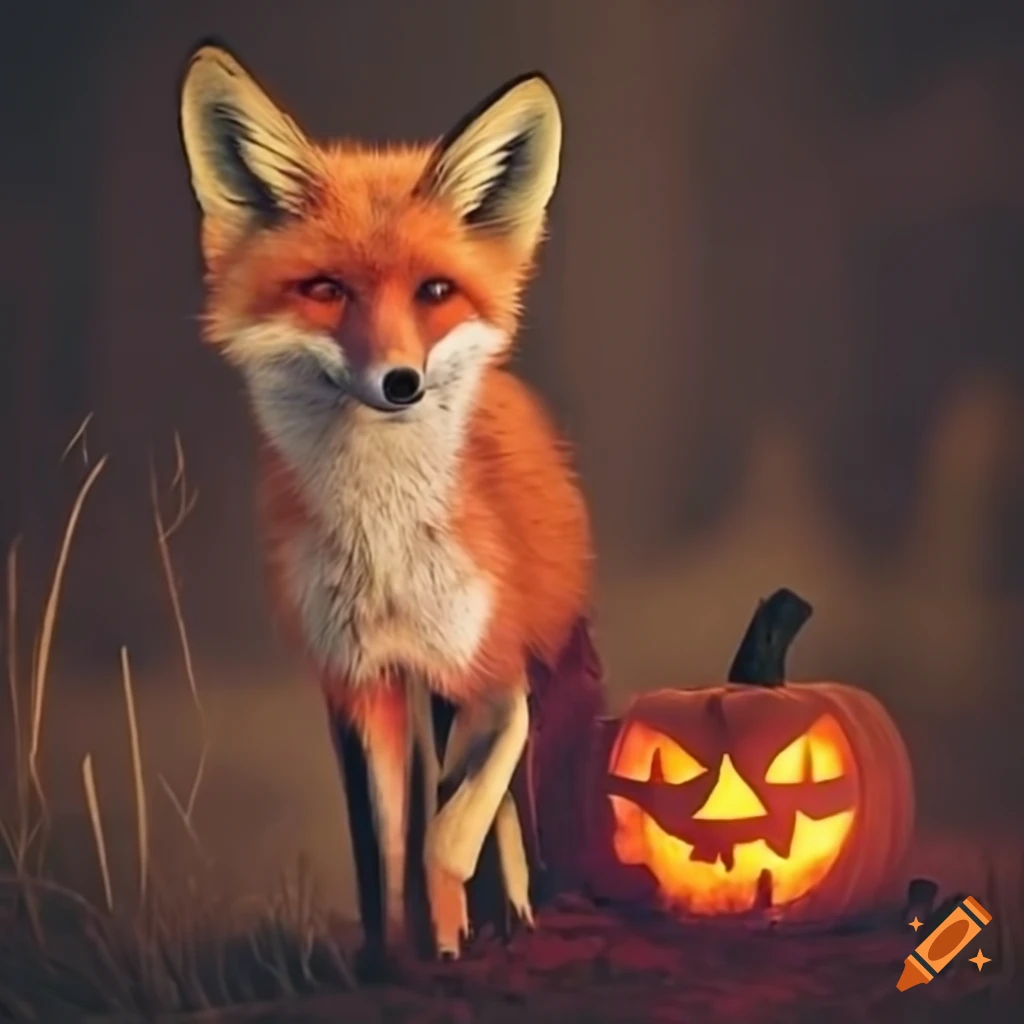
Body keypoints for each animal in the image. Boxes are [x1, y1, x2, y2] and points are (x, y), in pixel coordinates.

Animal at [178, 41, 600, 964]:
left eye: (434, 291)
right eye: (326, 290)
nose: (400, 383)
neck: (386, 549)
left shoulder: (488, 671)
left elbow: (450, 831)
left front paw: (451, 942)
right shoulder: (357, 680)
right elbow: (386, 850)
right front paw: (397, 957)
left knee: (506, 808)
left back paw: (516, 917)